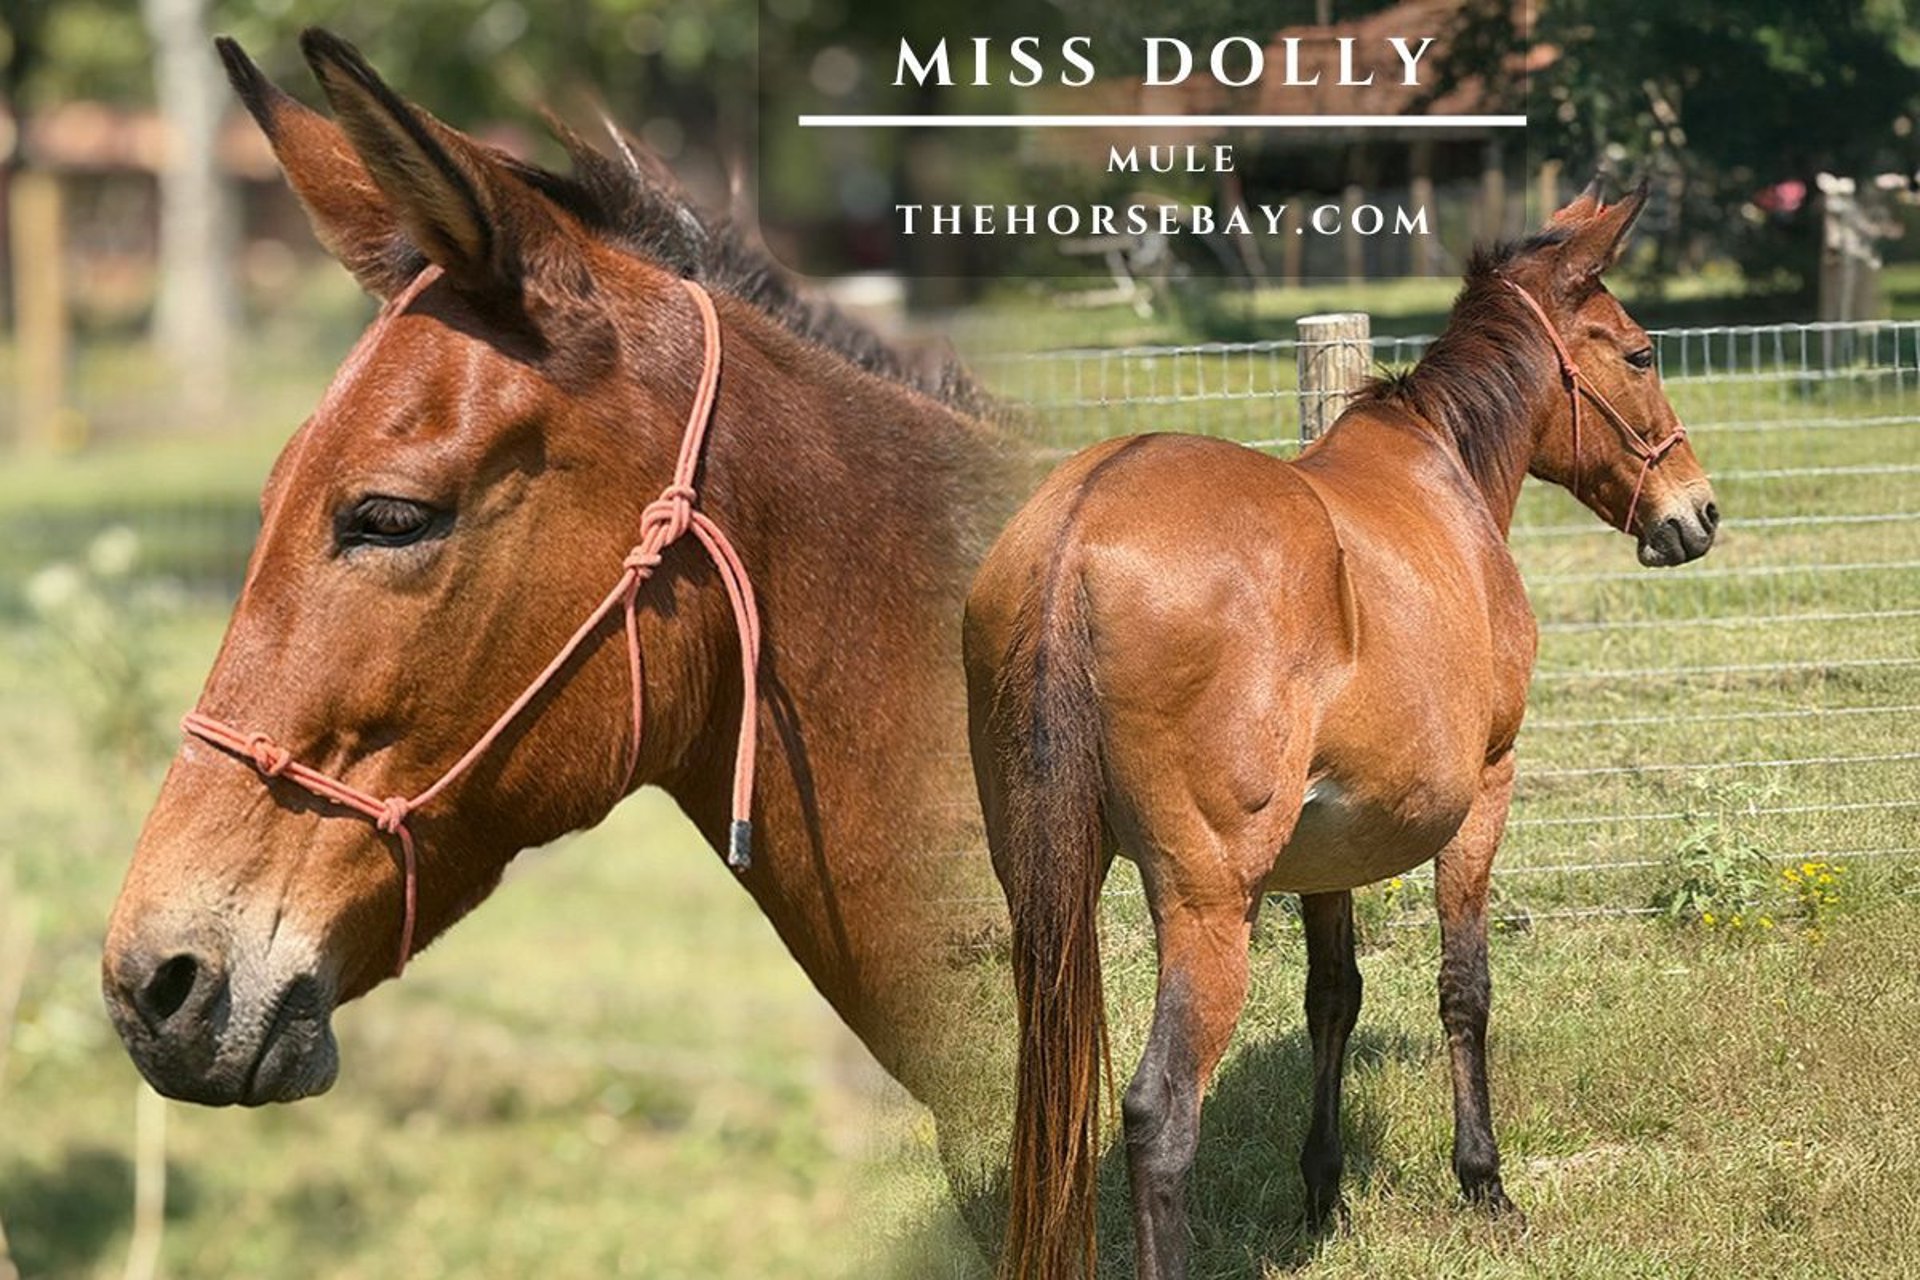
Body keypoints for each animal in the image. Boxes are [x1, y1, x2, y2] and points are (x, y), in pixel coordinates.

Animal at [964, 180, 1721, 1279]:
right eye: (1641, 352)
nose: (1697, 512)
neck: (1443, 470)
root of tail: (1074, 536)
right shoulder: (1487, 792)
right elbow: (1464, 988)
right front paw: (1484, 1182)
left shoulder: (1324, 855)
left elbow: (1334, 996)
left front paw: (1321, 1193)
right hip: (1206, 901)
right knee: (1158, 1109)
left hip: (1044, 889)